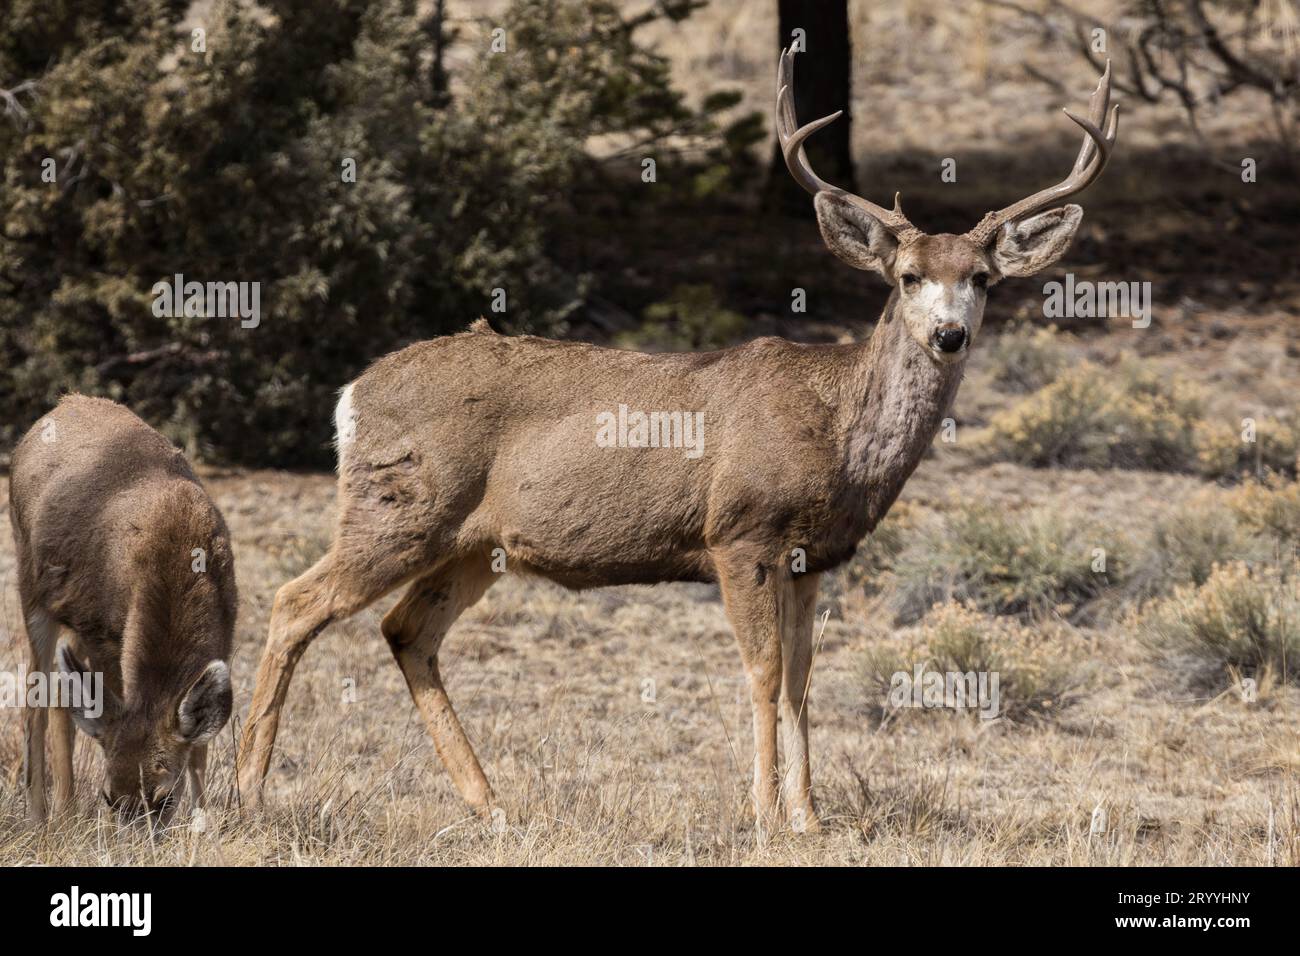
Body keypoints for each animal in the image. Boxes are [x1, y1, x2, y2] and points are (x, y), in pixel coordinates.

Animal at [9, 395, 237, 827]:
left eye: (163, 798)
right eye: (108, 797)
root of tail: (63, 403)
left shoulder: (225, 634)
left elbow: (199, 748)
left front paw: (203, 825)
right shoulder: (105, 633)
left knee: (64, 699)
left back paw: (64, 812)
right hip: (33, 591)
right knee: (37, 699)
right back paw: (42, 818)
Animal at [236, 49, 1117, 839]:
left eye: (983, 278)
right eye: (906, 276)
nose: (948, 334)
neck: (835, 430)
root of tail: (351, 396)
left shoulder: (812, 557)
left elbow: (804, 680)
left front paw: (810, 816)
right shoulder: (740, 531)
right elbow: (764, 673)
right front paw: (765, 815)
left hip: (472, 543)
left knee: (405, 632)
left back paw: (494, 807)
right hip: (399, 506)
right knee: (294, 603)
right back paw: (248, 791)